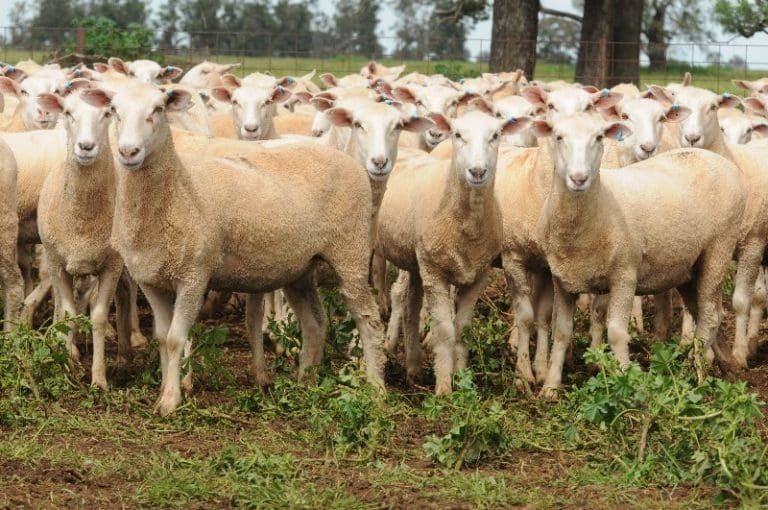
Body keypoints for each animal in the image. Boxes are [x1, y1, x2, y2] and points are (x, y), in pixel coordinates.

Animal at [36, 88, 133, 389]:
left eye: (106, 113)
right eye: (68, 112)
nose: (86, 147)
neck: (83, 220)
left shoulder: (111, 265)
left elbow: (99, 317)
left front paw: (99, 379)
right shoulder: (57, 263)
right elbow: (68, 314)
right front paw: (67, 365)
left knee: (124, 297)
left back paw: (124, 357)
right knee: (61, 306)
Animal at [86, 84, 387, 415]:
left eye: (158, 109)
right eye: (114, 110)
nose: (128, 152)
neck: (178, 188)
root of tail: (351, 163)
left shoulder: (194, 275)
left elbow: (177, 338)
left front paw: (171, 400)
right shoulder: (151, 279)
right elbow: (163, 338)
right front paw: (164, 390)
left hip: (351, 253)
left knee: (369, 320)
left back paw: (376, 389)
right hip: (301, 267)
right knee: (315, 322)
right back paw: (304, 383)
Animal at [375, 108, 531, 393]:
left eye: (495, 135)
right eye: (458, 134)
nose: (478, 171)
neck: (468, 226)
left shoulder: (477, 274)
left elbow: (462, 328)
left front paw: (461, 377)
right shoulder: (436, 274)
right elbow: (445, 330)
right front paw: (444, 387)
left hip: (416, 260)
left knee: (410, 305)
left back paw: (413, 368)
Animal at [532, 113, 745, 396]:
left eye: (599, 137)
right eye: (558, 136)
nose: (579, 178)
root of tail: (721, 161)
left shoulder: (625, 274)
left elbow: (616, 333)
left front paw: (627, 381)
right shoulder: (563, 280)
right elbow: (562, 333)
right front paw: (550, 387)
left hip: (719, 247)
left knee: (709, 316)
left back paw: (694, 376)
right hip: (689, 266)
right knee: (708, 314)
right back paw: (723, 366)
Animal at [655, 85, 768, 371]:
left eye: (713, 107)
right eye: (676, 106)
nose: (692, 138)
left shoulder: (752, 244)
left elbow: (740, 302)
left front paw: (738, 355)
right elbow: (700, 304)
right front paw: (691, 347)